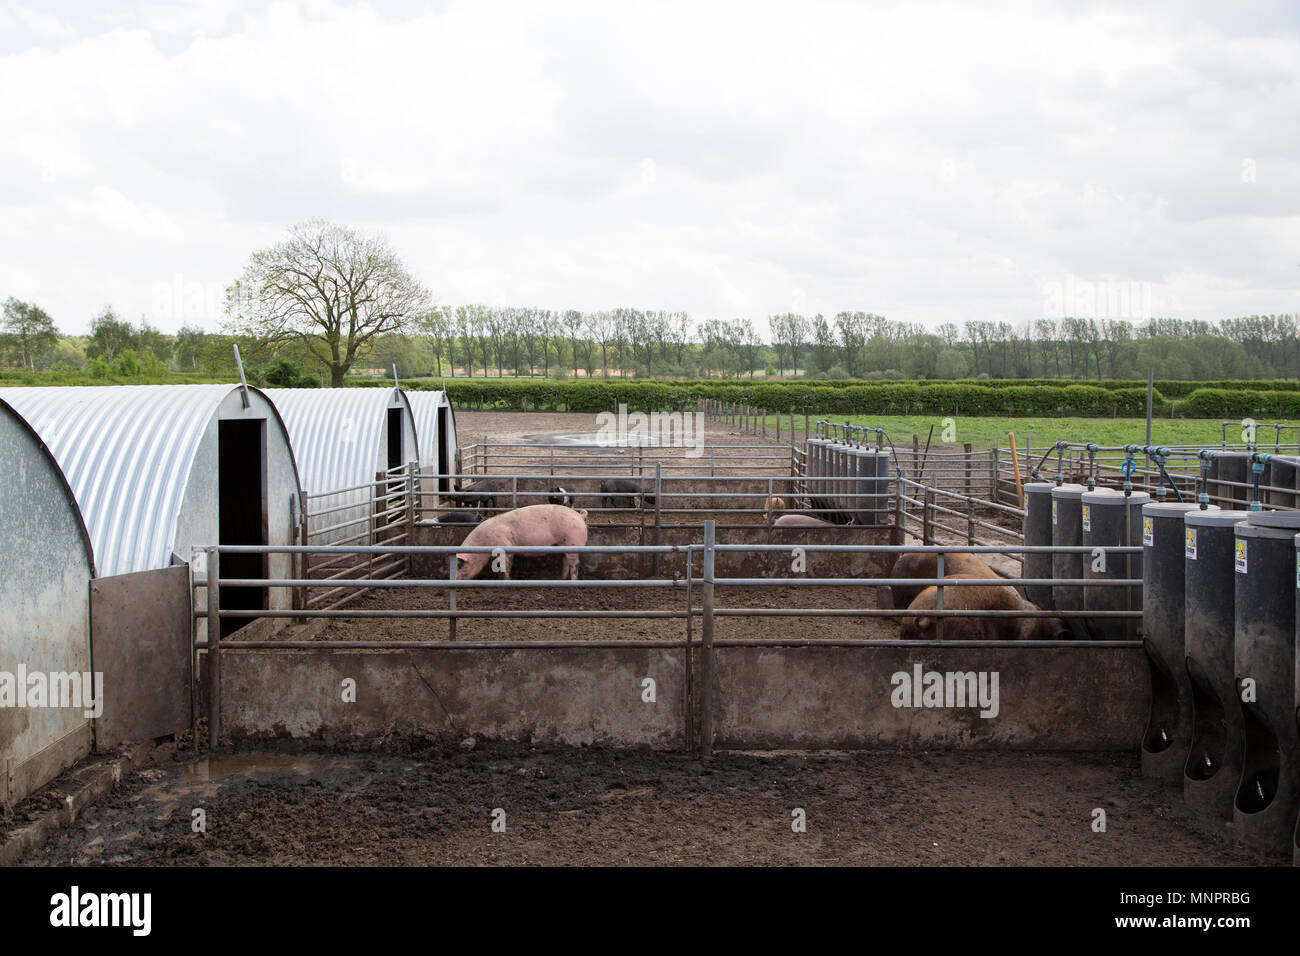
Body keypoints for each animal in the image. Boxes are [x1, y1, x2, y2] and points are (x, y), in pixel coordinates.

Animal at [455, 504, 589, 580]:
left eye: (460, 565)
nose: (455, 579)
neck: (483, 542)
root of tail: (579, 516)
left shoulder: (505, 545)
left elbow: (506, 566)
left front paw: (506, 580)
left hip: (573, 542)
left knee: (574, 564)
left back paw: (573, 581)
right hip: (565, 544)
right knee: (566, 561)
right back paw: (560, 578)